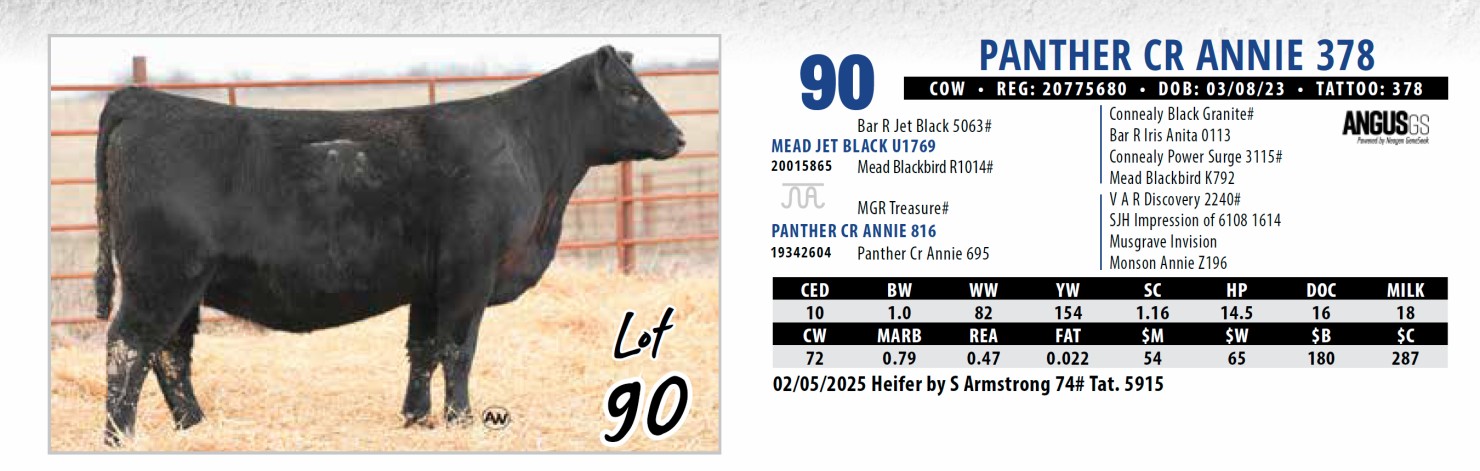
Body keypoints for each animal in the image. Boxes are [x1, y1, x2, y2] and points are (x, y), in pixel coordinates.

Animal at [92, 45, 686, 445]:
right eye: (631, 92)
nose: (678, 137)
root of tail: (142, 99)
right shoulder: (470, 274)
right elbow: (459, 350)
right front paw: (461, 420)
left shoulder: (429, 283)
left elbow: (421, 350)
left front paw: (416, 419)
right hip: (161, 276)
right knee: (130, 346)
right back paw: (122, 437)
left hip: (186, 284)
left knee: (171, 353)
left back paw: (194, 427)